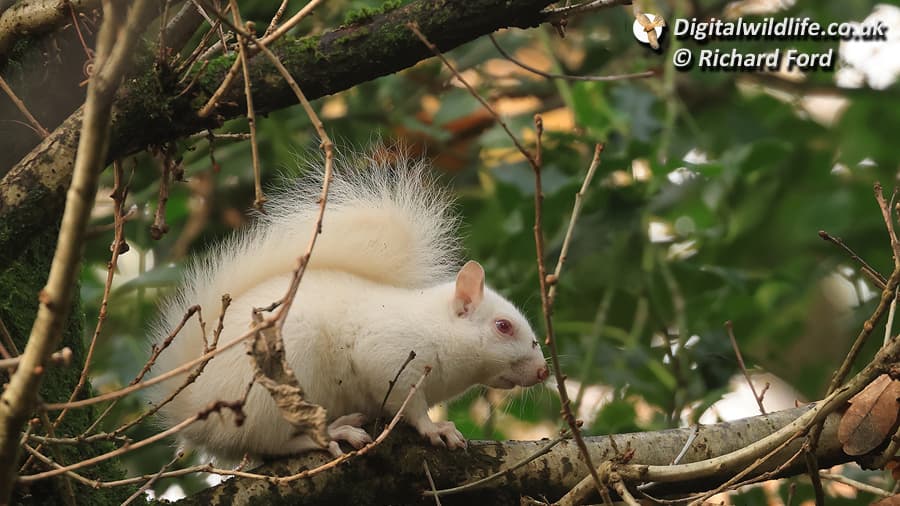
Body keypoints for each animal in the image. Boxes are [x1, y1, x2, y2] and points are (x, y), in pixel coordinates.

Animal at [147, 151, 549, 461]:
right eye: (503, 326)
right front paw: (436, 428)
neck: (437, 329)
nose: (544, 372)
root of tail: (195, 410)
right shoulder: (389, 357)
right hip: (278, 385)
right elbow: (408, 404)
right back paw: (335, 433)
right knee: (271, 442)